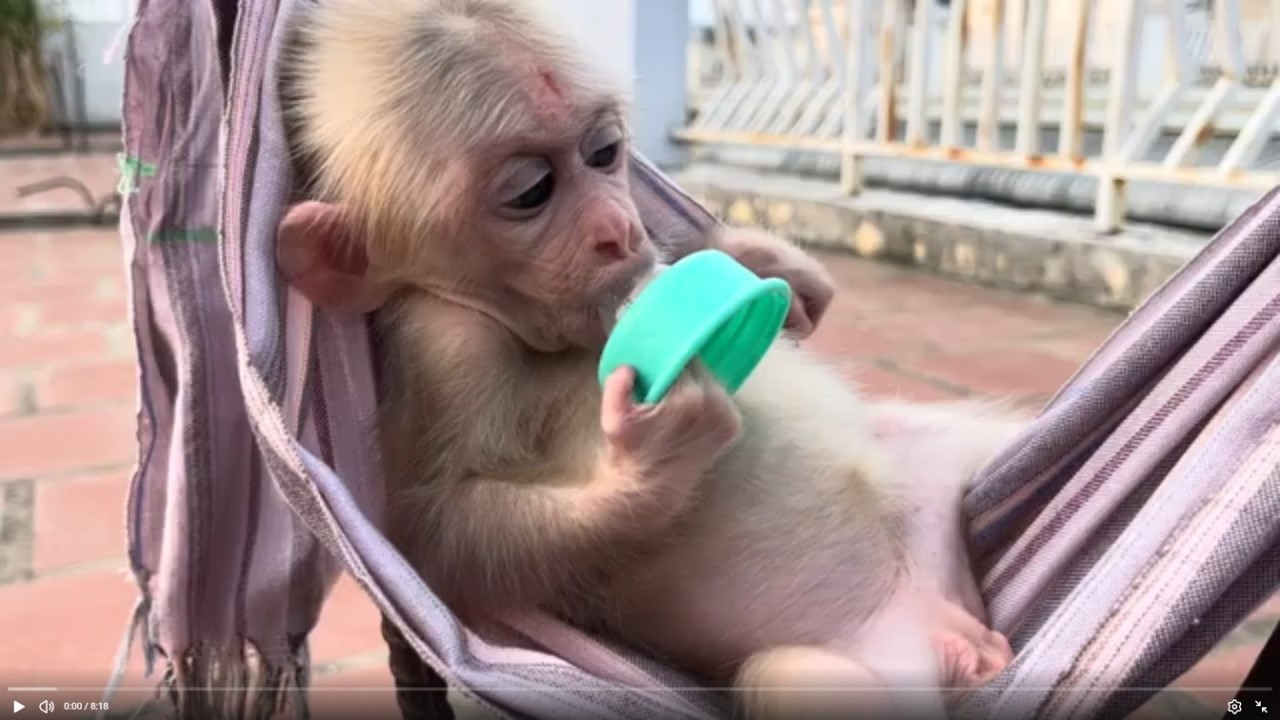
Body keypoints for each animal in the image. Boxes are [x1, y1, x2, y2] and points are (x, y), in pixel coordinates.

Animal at [273, 0, 1022, 716]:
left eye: (605, 152)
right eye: (530, 191)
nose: (618, 230)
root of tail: (947, 625)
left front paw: (771, 263)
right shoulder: (447, 343)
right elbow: (440, 529)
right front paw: (650, 465)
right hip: (866, 665)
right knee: (793, 681)